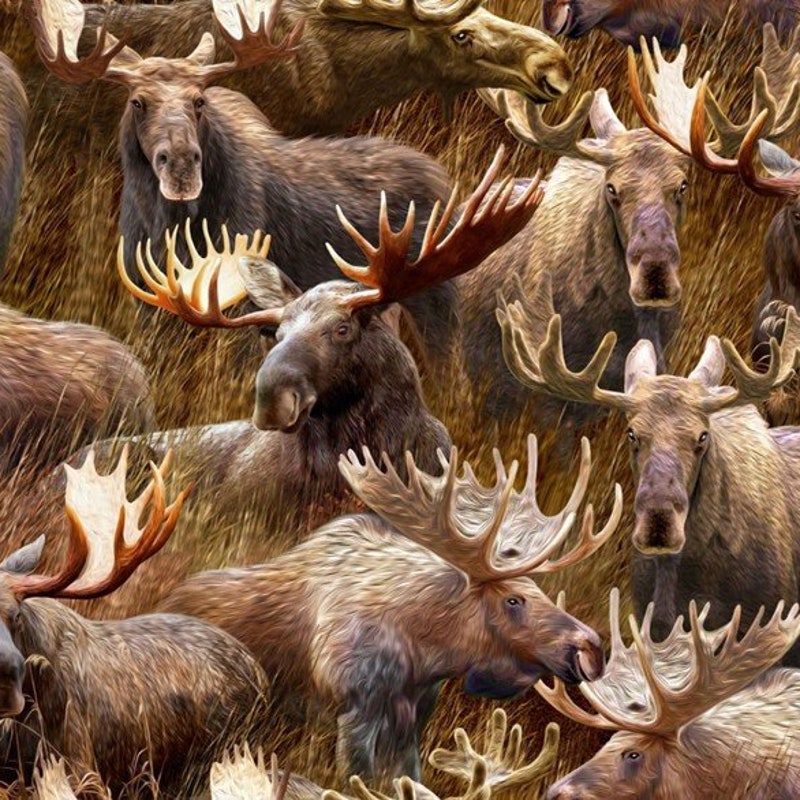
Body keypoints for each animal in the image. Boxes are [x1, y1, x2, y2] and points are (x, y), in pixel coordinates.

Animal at [28, 0, 467, 364]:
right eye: (138, 101)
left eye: (199, 101)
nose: (182, 164)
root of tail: (444, 179)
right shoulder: (149, 300)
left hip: (435, 299)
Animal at [160, 432, 622, 782]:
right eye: (513, 599)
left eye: (537, 589)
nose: (590, 647)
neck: (428, 652)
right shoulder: (354, 715)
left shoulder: (412, 723)